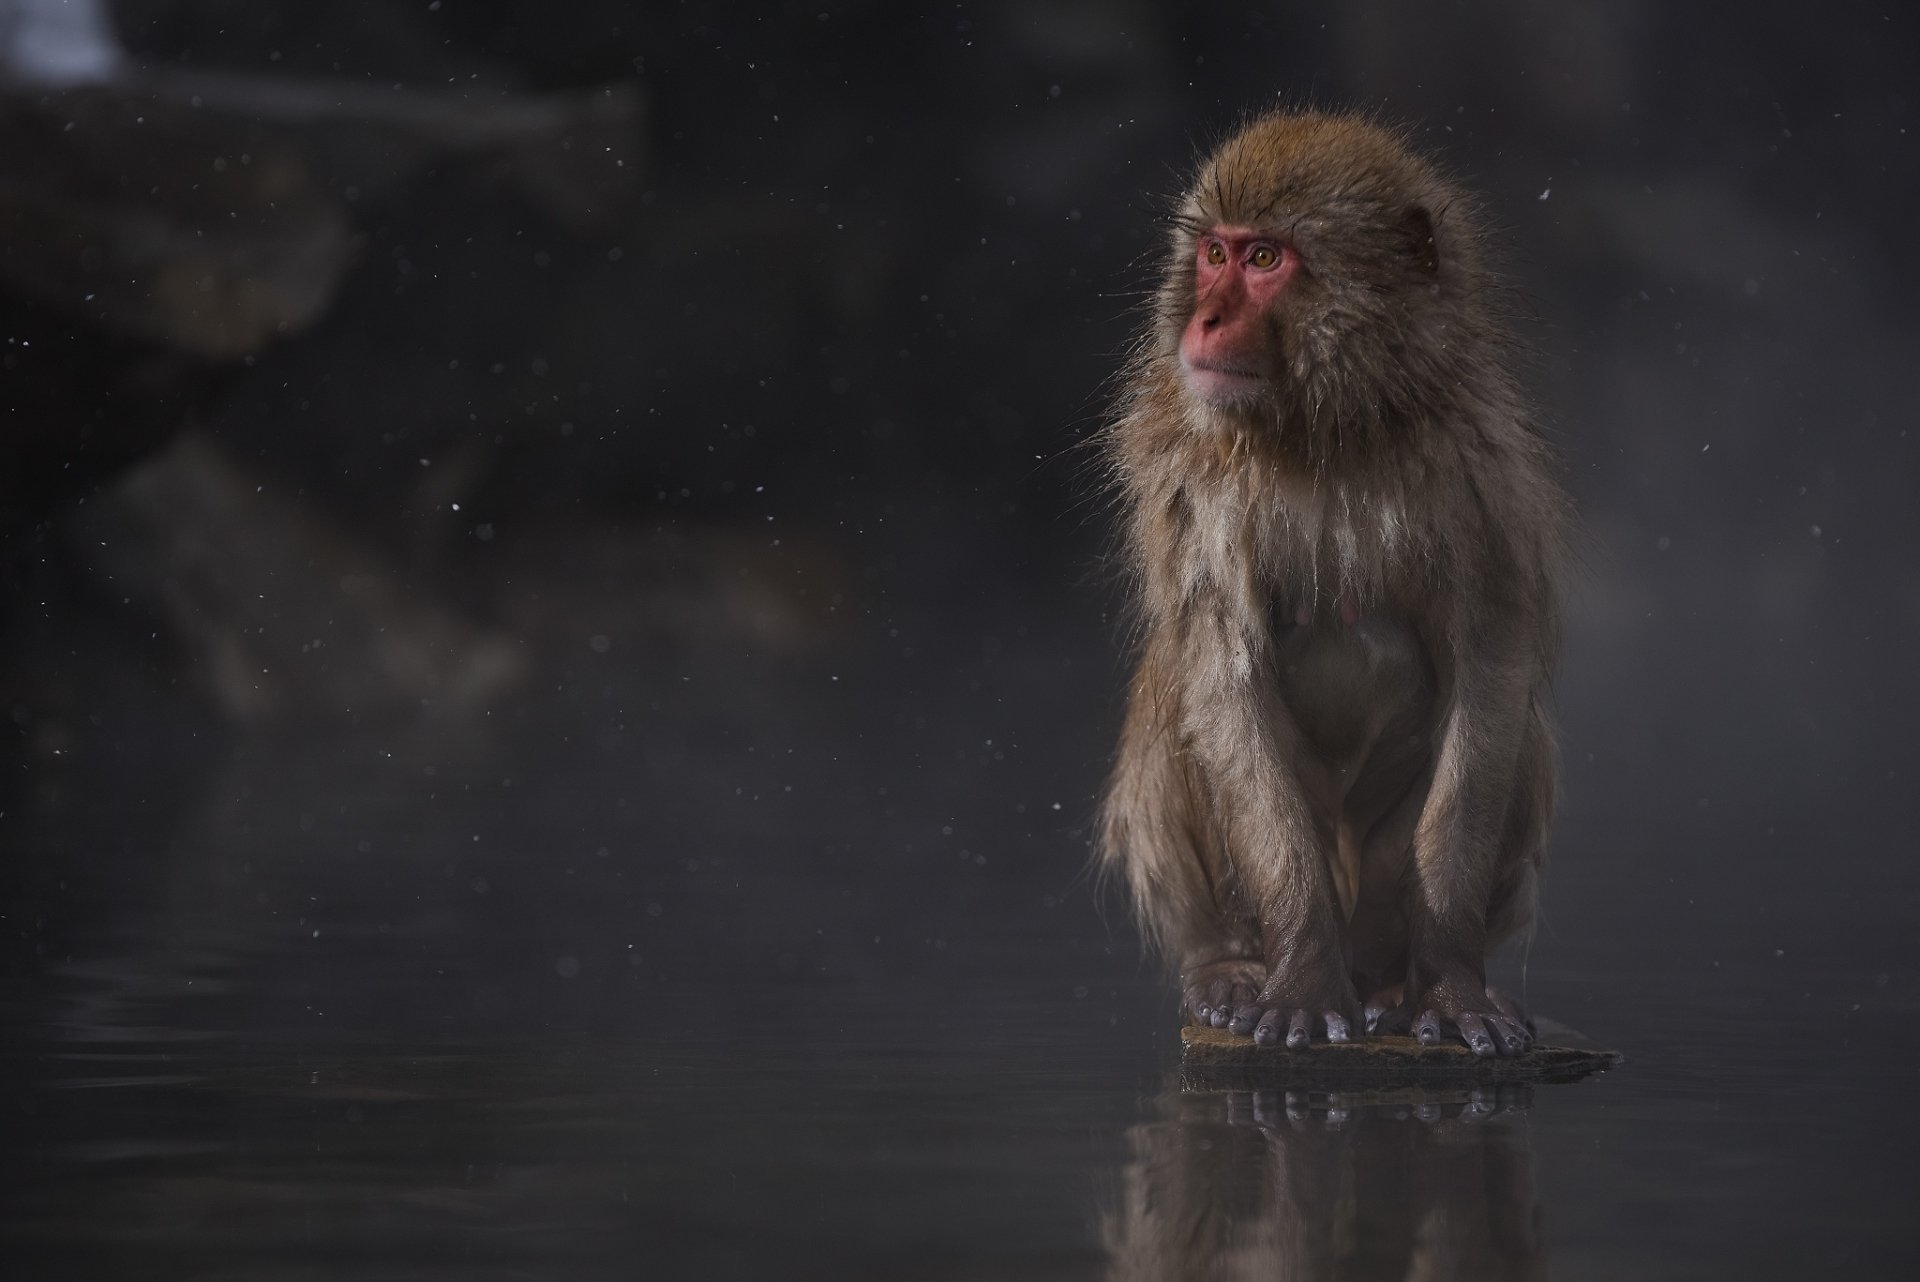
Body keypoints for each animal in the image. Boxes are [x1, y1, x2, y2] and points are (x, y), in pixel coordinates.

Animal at [1098, 110, 1570, 1058]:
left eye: (1264, 260)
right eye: (1213, 252)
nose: (1204, 317)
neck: (1328, 430)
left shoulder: (1485, 470)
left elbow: (1489, 679)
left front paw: (1448, 978)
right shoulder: (1187, 475)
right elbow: (1226, 685)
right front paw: (1302, 977)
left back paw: (1387, 982)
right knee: (1176, 691)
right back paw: (1230, 969)